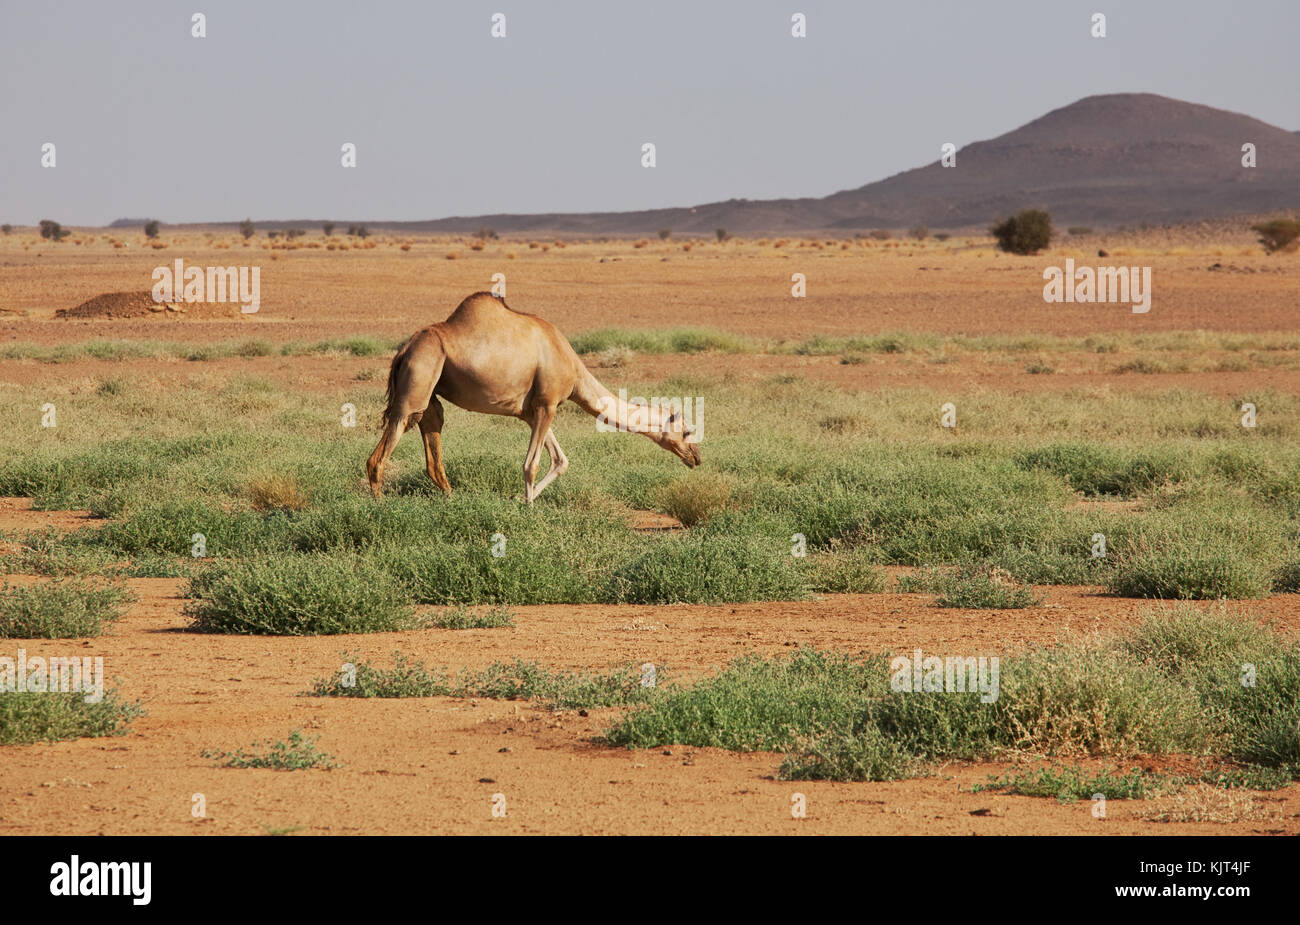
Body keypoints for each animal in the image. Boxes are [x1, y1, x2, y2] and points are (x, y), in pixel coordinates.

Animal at [366, 292, 701, 502]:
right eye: (687, 431)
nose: (696, 456)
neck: (573, 368)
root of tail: (403, 350)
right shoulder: (547, 404)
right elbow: (532, 464)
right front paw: (527, 508)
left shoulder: (533, 411)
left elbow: (561, 460)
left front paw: (518, 499)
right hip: (420, 375)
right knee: (381, 453)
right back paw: (380, 507)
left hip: (430, 389)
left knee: (432, 430)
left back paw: (450, 498)